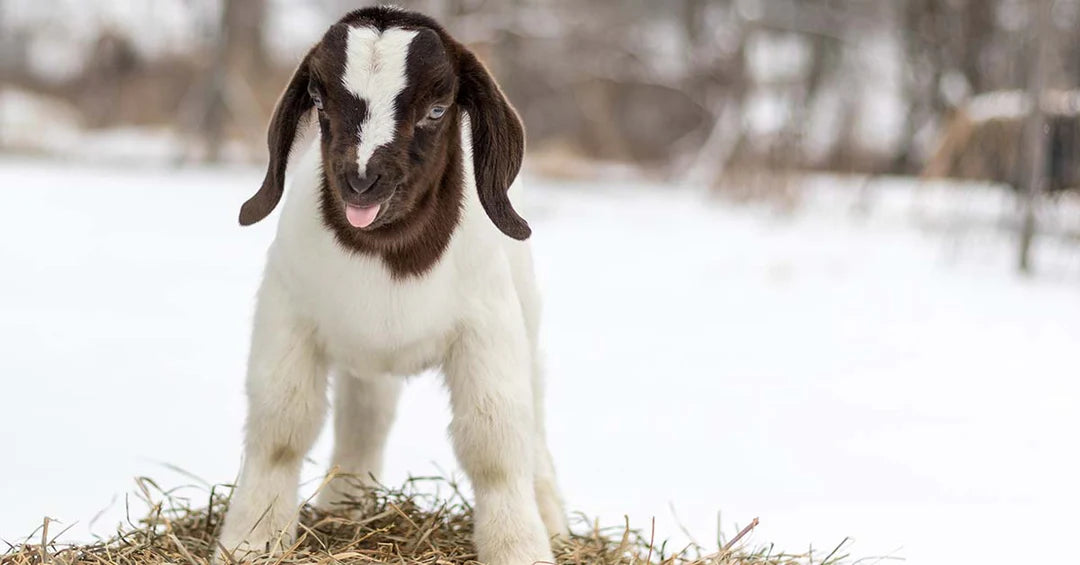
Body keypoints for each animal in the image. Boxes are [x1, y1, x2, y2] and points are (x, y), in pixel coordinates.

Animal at [215, 7, 568, 565]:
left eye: (438, 109)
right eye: (318, 99)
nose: (361, 180)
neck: (389, 253)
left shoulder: (489, 329)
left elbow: (495, 441)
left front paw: (520, 548)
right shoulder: (287, 311)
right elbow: (282, 427)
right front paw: (252, 539)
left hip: (526, 323)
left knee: (532, 427)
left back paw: (554, 521)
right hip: (365, 362)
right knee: (365, 418)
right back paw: (345, 505)